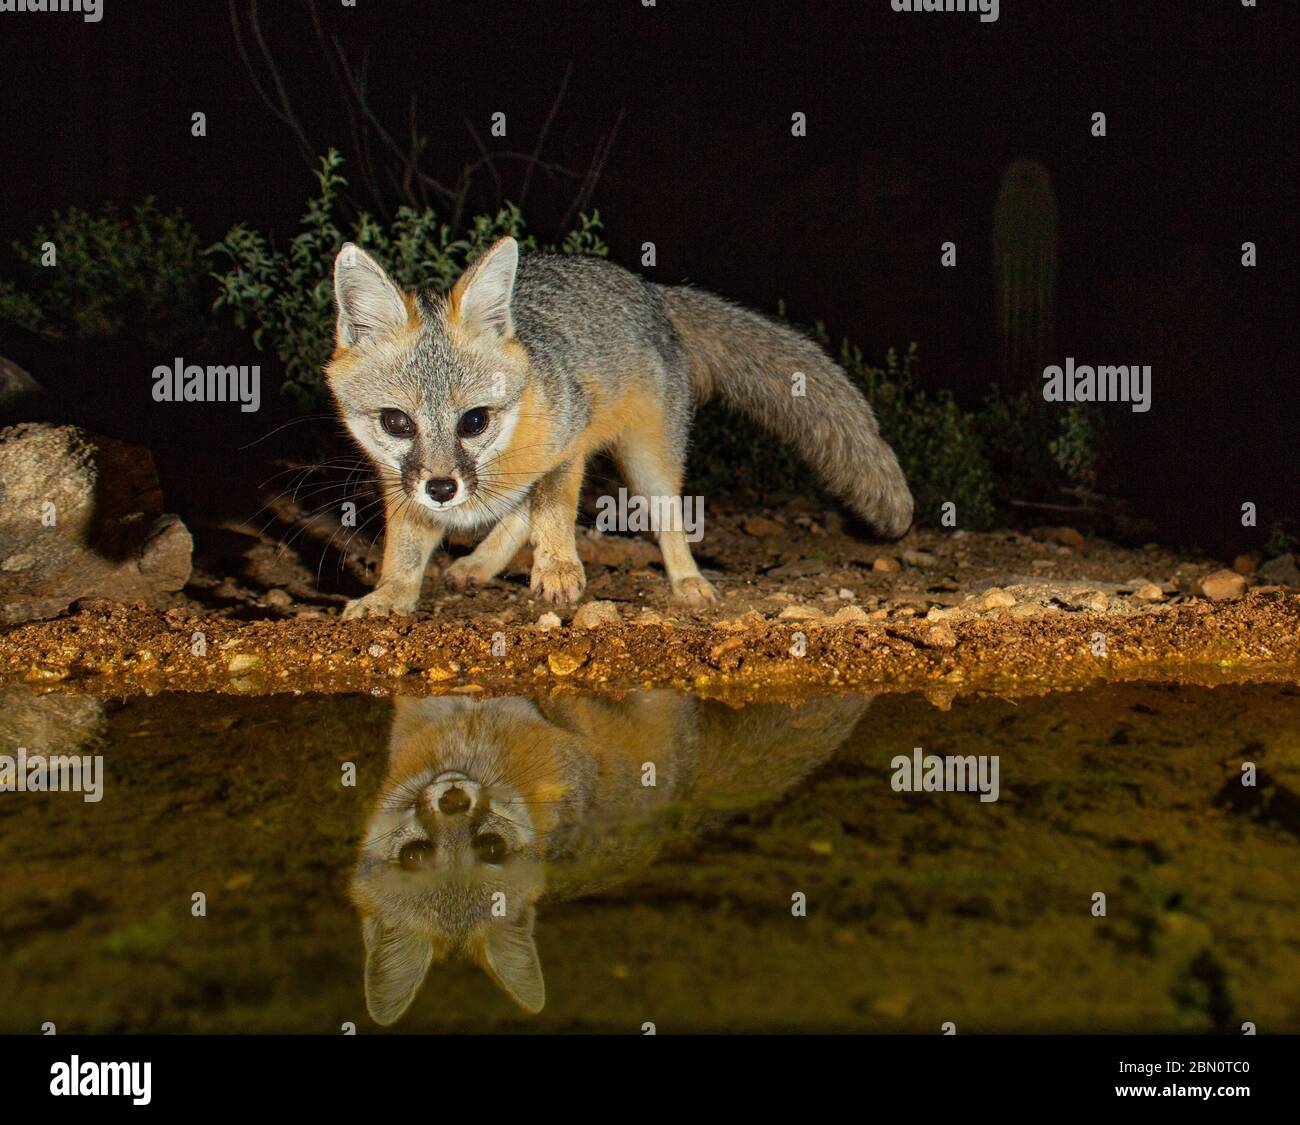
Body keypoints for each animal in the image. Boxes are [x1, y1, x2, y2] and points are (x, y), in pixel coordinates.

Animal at [327, 237, 913, 618]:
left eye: (475, 420)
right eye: (396, 423)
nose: (442, 488)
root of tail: (652, 290)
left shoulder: (567, 444)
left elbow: (552, 509)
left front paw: (558, 566)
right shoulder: (403, 488)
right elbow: (405, 554)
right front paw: (389, 596)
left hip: (648, 464)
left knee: (667, 520)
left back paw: (688, 581)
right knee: (515, 512)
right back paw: (479, 563)